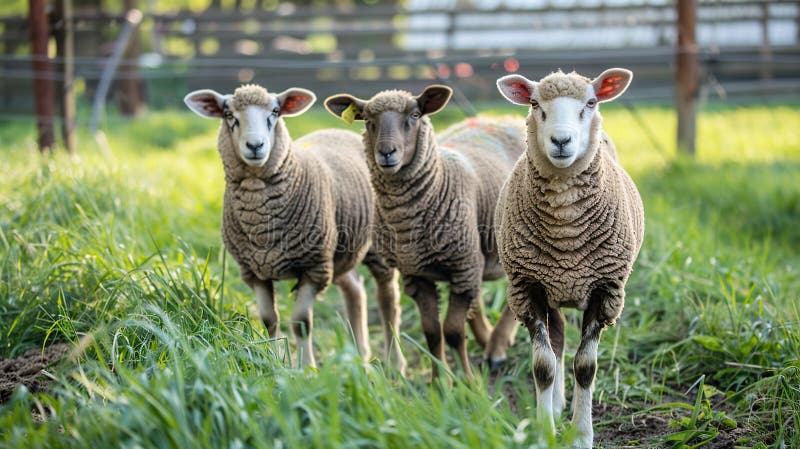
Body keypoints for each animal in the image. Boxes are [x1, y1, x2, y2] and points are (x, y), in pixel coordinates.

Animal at [184, 84, 406, 374]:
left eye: (275, 112)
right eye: (228, 114)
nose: (255, 146)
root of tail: (340, 130)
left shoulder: (314, 268)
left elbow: (301, 322)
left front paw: (306, 369)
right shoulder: (254, 271)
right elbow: (269, 320)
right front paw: (275, 365)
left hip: (374, 244)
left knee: (388, 298)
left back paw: (395, 364)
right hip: (339, 248)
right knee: (355, 289)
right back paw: (360, 357)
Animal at [324, 86, 525, 379]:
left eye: (415, 115)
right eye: (367, 119)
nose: (386, 152)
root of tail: (503, 117)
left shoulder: (462, 265)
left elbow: (452, 331)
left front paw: (467, 382)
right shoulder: (418, 273)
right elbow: (431, 332)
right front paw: (440, 381)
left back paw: (497, 346)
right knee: (476, 299)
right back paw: (488, 340)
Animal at [494, 68, 644, 447]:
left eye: (590, 103)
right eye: (535, 104)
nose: (561, 141)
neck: (566, 233)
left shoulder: (606, 291)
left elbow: (585, 368)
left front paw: (581, 435)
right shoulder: (527, 288)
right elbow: (543, 366)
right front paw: (545, 431)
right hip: (551, 289)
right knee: (558, 339)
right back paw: (557, 401)